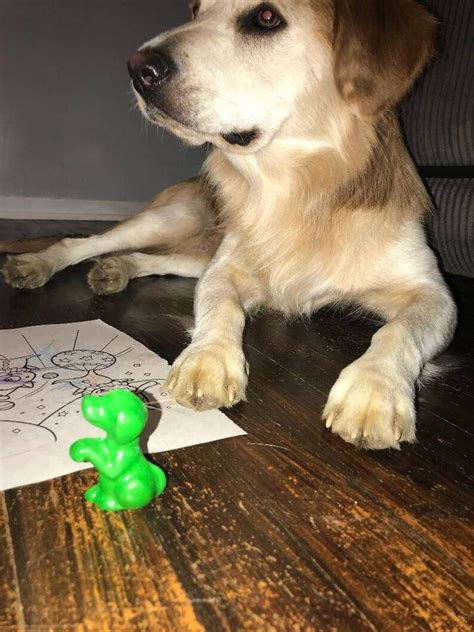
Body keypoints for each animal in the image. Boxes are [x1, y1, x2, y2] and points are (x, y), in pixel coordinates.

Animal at [2, 0, 456, 450]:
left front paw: (374, 391)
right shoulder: (225, 269)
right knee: (84, 241)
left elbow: (398, 331)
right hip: (172, 218)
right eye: (195, 11)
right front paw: (207, 360)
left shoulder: (433, 294)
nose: (138, 68)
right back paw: (35, 264)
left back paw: (115, 269)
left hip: (192, 249)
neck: (295, 189)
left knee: (148, 258)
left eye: (267, 17)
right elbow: (221, 308)